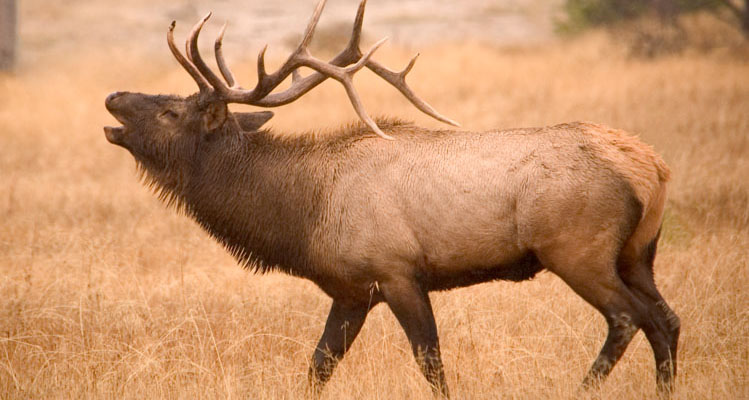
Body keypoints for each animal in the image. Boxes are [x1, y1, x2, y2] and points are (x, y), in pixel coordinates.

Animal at [103, 0, 680, 397]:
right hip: (638, 254)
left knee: (629, 319)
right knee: (667, 320)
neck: (302, 212)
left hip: (578, 251)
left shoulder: (397, 272)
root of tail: (652, 167)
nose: (113, 96)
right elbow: (318, 365)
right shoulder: (351, 289)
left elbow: (431, 363)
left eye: (173, 112)